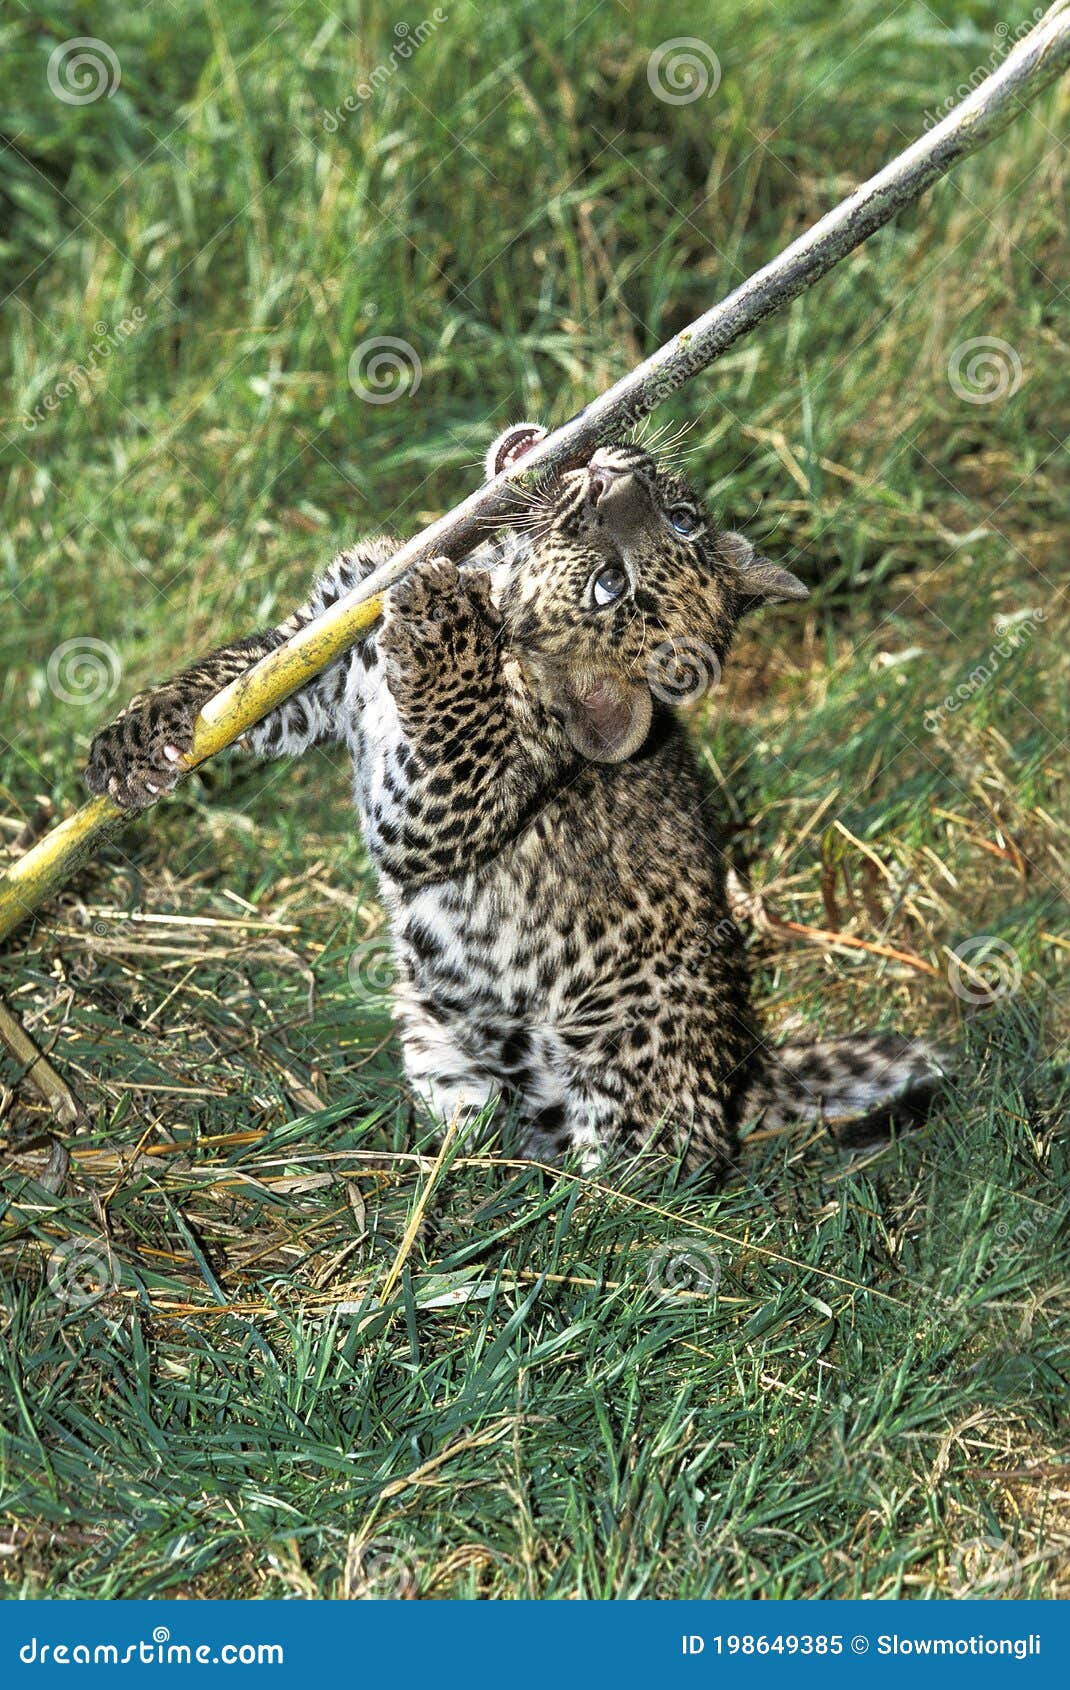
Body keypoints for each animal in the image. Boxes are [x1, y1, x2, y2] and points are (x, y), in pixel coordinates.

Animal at [84, 424, 948, 1180]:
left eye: (608, 586)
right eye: (683, 518)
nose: (610, 481)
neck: (494, 567)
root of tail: (748, 1063)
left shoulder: (433, 814)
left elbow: (450, 733)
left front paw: (443, 624)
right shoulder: (324, 657)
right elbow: (239, 680)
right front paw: (140, 738)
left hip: (631, 1048)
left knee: (662, 1170)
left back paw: (582, 1222)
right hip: (438, 1041)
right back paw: (470, 1175)